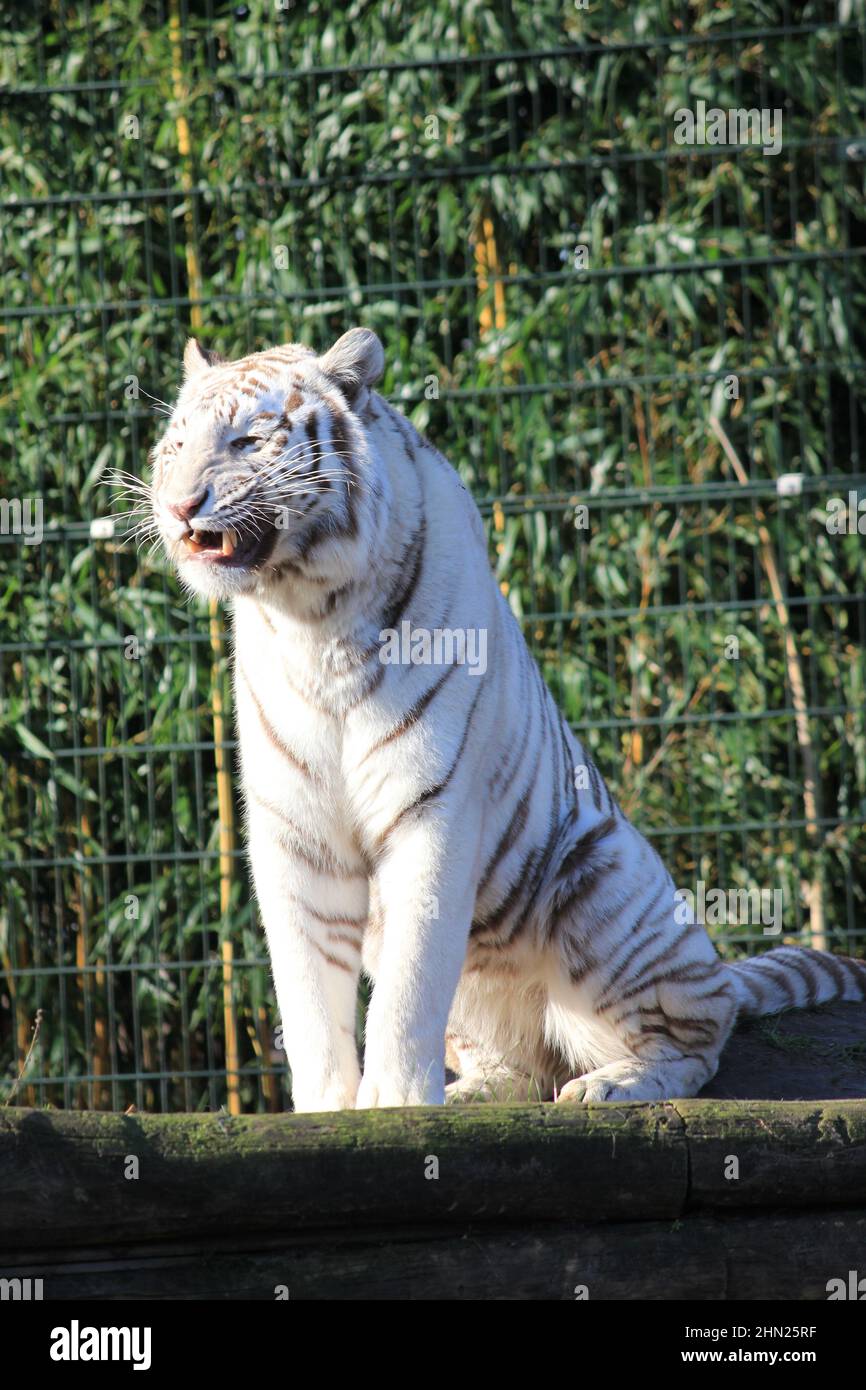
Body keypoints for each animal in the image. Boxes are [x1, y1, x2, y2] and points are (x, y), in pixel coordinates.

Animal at [149, 326, 866, 1110]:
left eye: (247, 441)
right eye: (175, 446)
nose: (180, 507)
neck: (311, 617)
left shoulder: (431, 807)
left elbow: (408, 988)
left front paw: (395, 1107)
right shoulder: (295, 831)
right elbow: (308, 997)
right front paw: (329, 1112)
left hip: (604, 887)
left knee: (698, 1037)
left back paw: (612, 1082)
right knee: (520, 1062)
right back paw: (475, 1090)